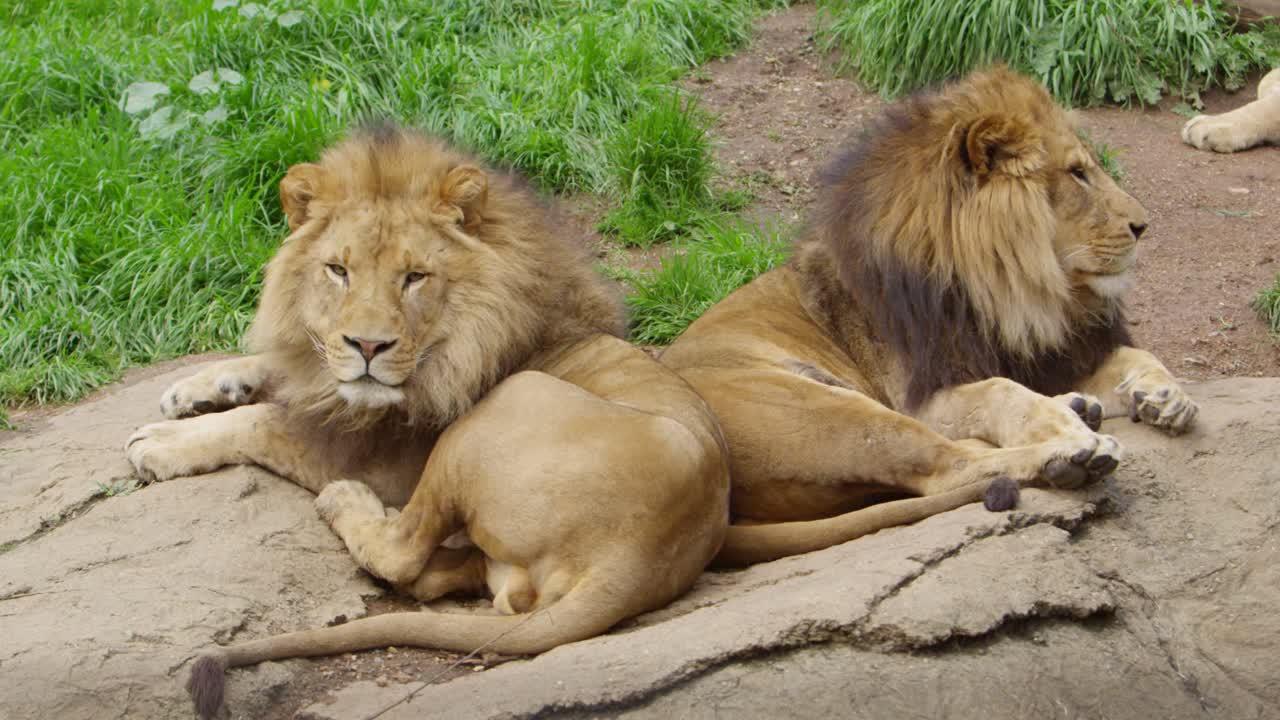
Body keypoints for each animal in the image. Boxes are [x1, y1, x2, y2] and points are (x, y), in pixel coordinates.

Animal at [124, 126, 729, 718]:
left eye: (414, 277)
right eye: (338, 271)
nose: (368, 346)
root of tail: (632, 564)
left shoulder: (372, 450)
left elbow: (261, 423)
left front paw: (162, 442)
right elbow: (284, 368)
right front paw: (196, 388)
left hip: (502, 407)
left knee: (403, 554)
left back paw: (349, 502)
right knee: (435, 582)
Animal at [660, 67, 1198, 567]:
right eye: (1077, 173)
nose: (1143, 225)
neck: (1013, 294)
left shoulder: (1048, 351)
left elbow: (1132, 356)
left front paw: (1165, 396)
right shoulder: (921, 396)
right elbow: (1000, 392)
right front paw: (1064, 428)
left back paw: (1079, 411)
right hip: (834, 412)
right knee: (946, 468)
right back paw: (1072, 454)